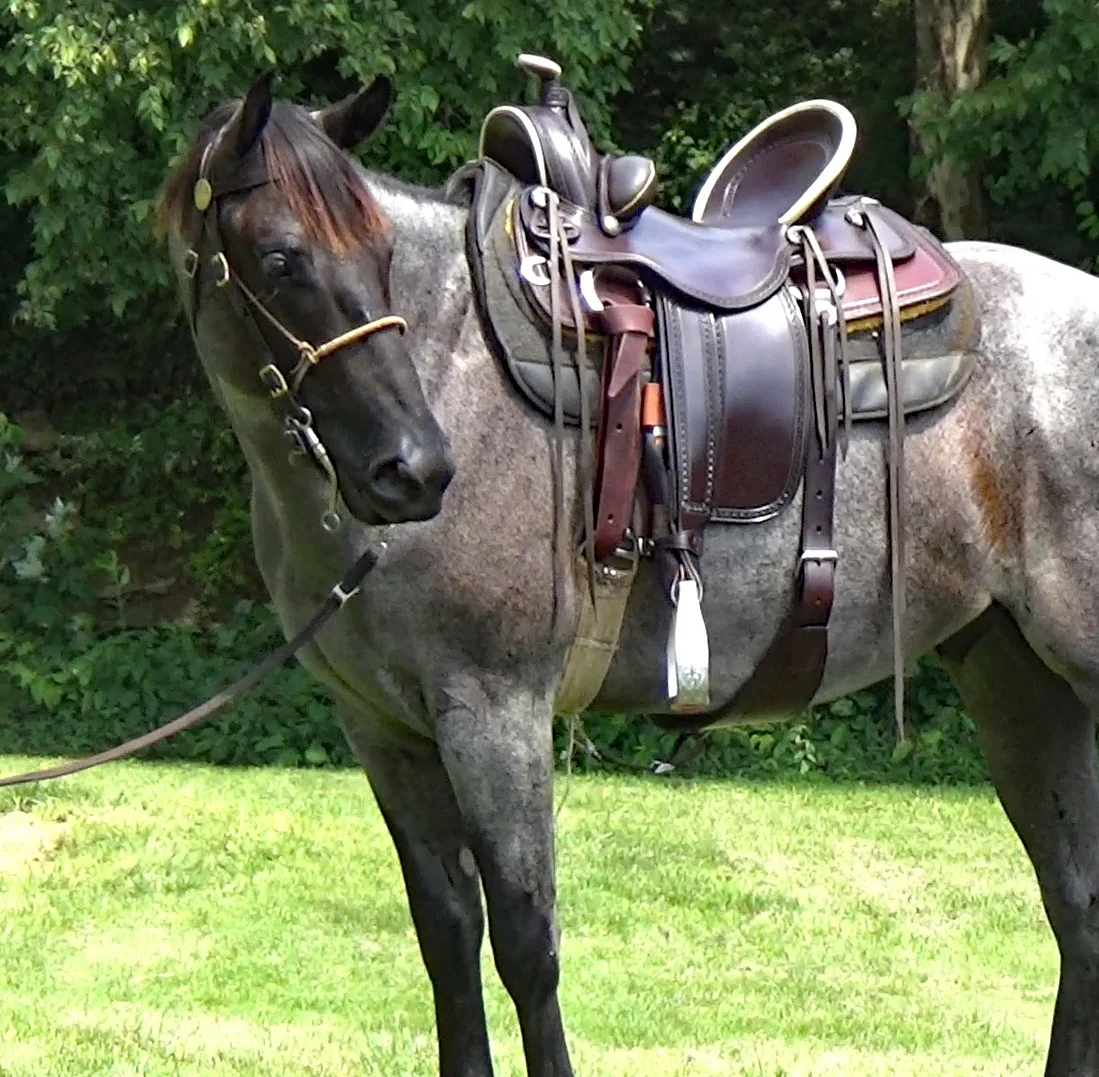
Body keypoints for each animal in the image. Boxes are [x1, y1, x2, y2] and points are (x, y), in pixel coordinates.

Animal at [157, 71, 1099, 1077]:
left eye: (378, 251)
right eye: (281, 259)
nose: (412, 469)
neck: (453, 363)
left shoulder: (494, 711)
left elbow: (527, 945)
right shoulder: (383, 729)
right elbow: (446, 937)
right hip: (1016, 682)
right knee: (1076, 909)